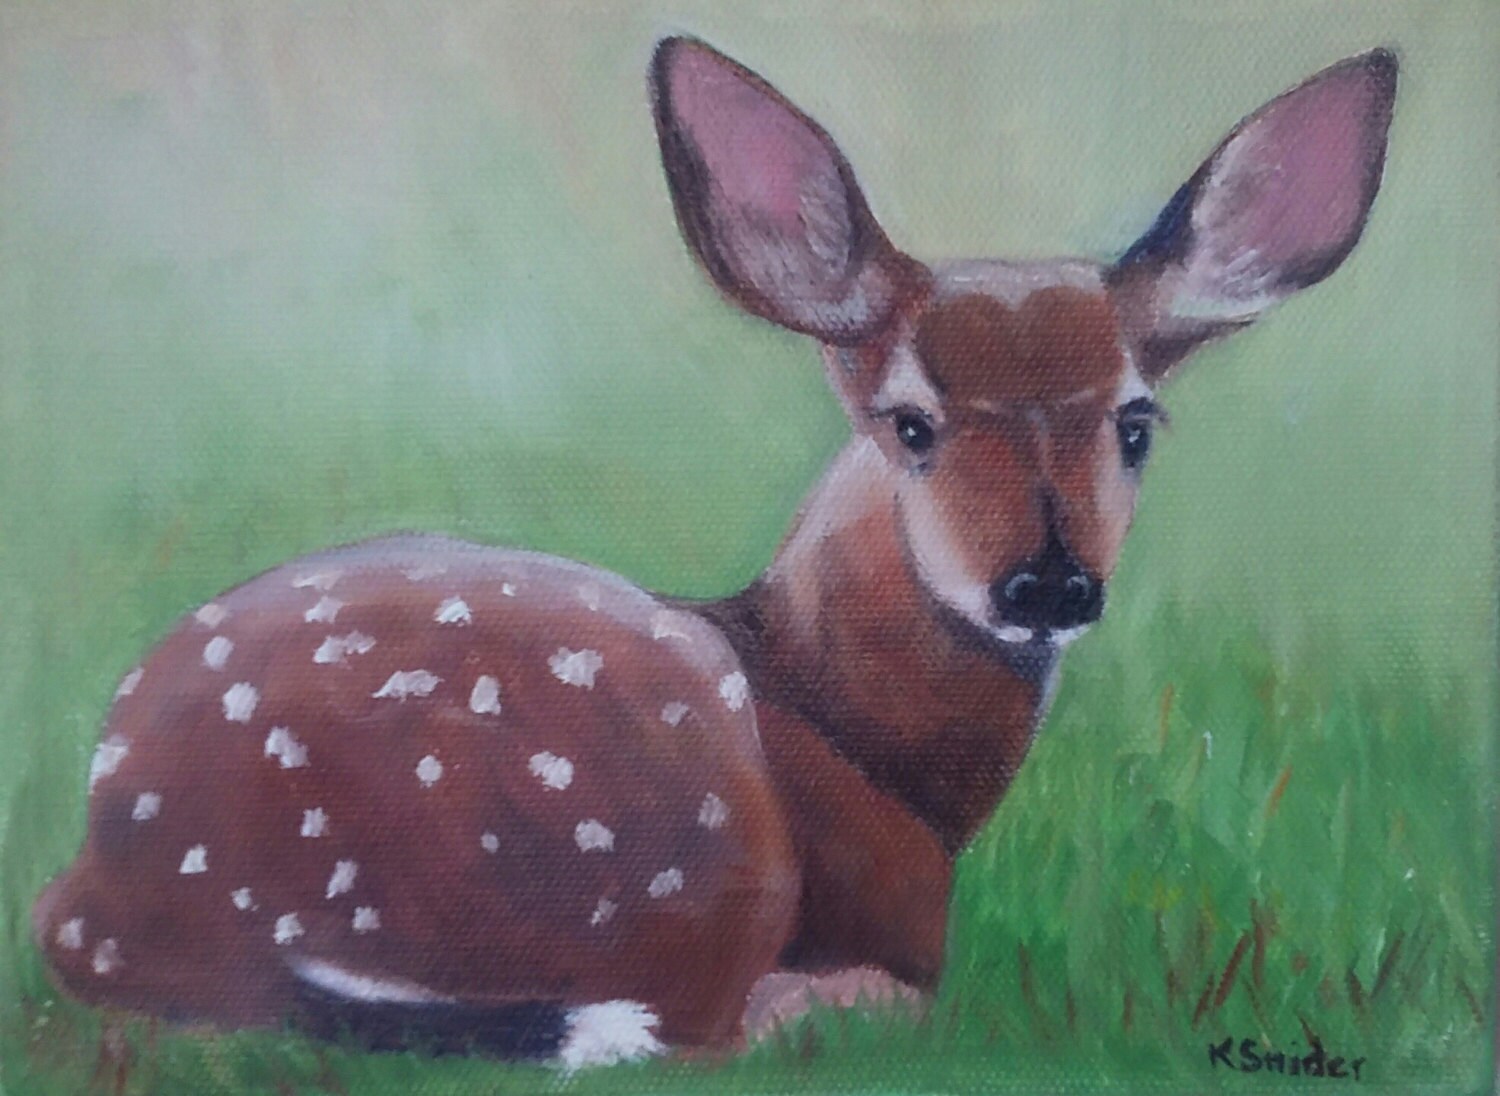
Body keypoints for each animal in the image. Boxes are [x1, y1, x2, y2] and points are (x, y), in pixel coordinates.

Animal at [33, 36, 1396, 1071]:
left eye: (1136, 422)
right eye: (908, 422)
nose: (1050, 580)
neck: (859, 730)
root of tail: (119, 892)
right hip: (687, 853)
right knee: (714, 1026)